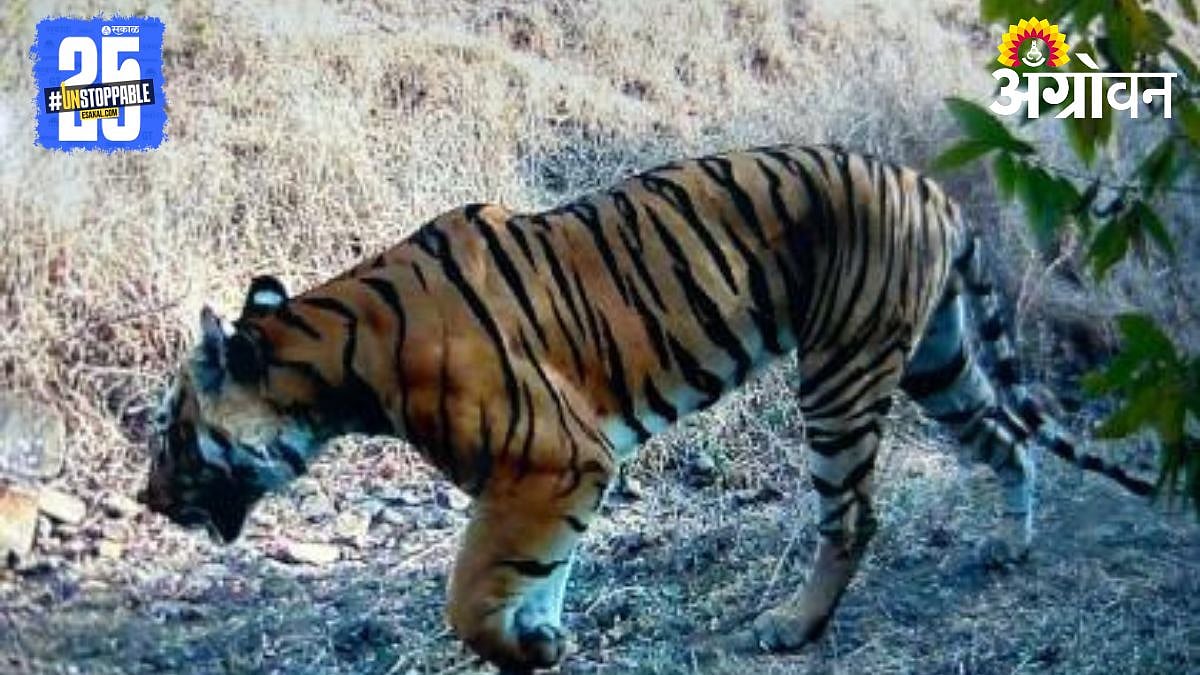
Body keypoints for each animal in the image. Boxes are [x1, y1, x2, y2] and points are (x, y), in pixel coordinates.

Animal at [138, 144, 1152, 673]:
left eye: (169, 431)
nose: (147, 499)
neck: (335, 365)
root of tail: (925, 181)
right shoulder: (554, 474)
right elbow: (540, 571)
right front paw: (543, 634)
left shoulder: (552, 458)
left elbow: (471, 591)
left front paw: (523, 647)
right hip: (935, 361)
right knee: (1007, 439)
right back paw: (1010, 546)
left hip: (840, 371)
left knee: (855, 513)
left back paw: (790, 627)